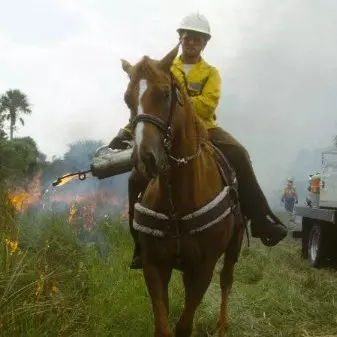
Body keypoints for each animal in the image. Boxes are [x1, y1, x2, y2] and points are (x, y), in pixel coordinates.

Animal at [121, 43, 244, 334]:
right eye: (127, 99)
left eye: (165, 93)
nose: (145, 160)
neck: (177, 200)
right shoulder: (155, 266)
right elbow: (163, 327)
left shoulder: (203, 269)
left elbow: (184, 326)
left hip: (232, 250)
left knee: (226, 281)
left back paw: (222, 326)